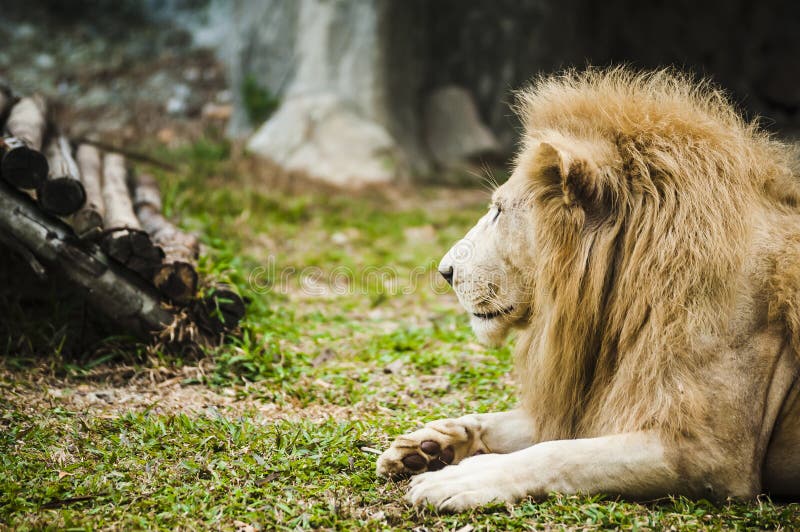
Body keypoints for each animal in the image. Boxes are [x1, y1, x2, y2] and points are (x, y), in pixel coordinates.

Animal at [376, 67, 800, 511]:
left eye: (499, 211)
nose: (445, 270)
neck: (620, 301)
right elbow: (508, 422)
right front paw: (428, 445)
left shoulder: (709, 453)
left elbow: (558, 453)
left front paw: (464, 477)